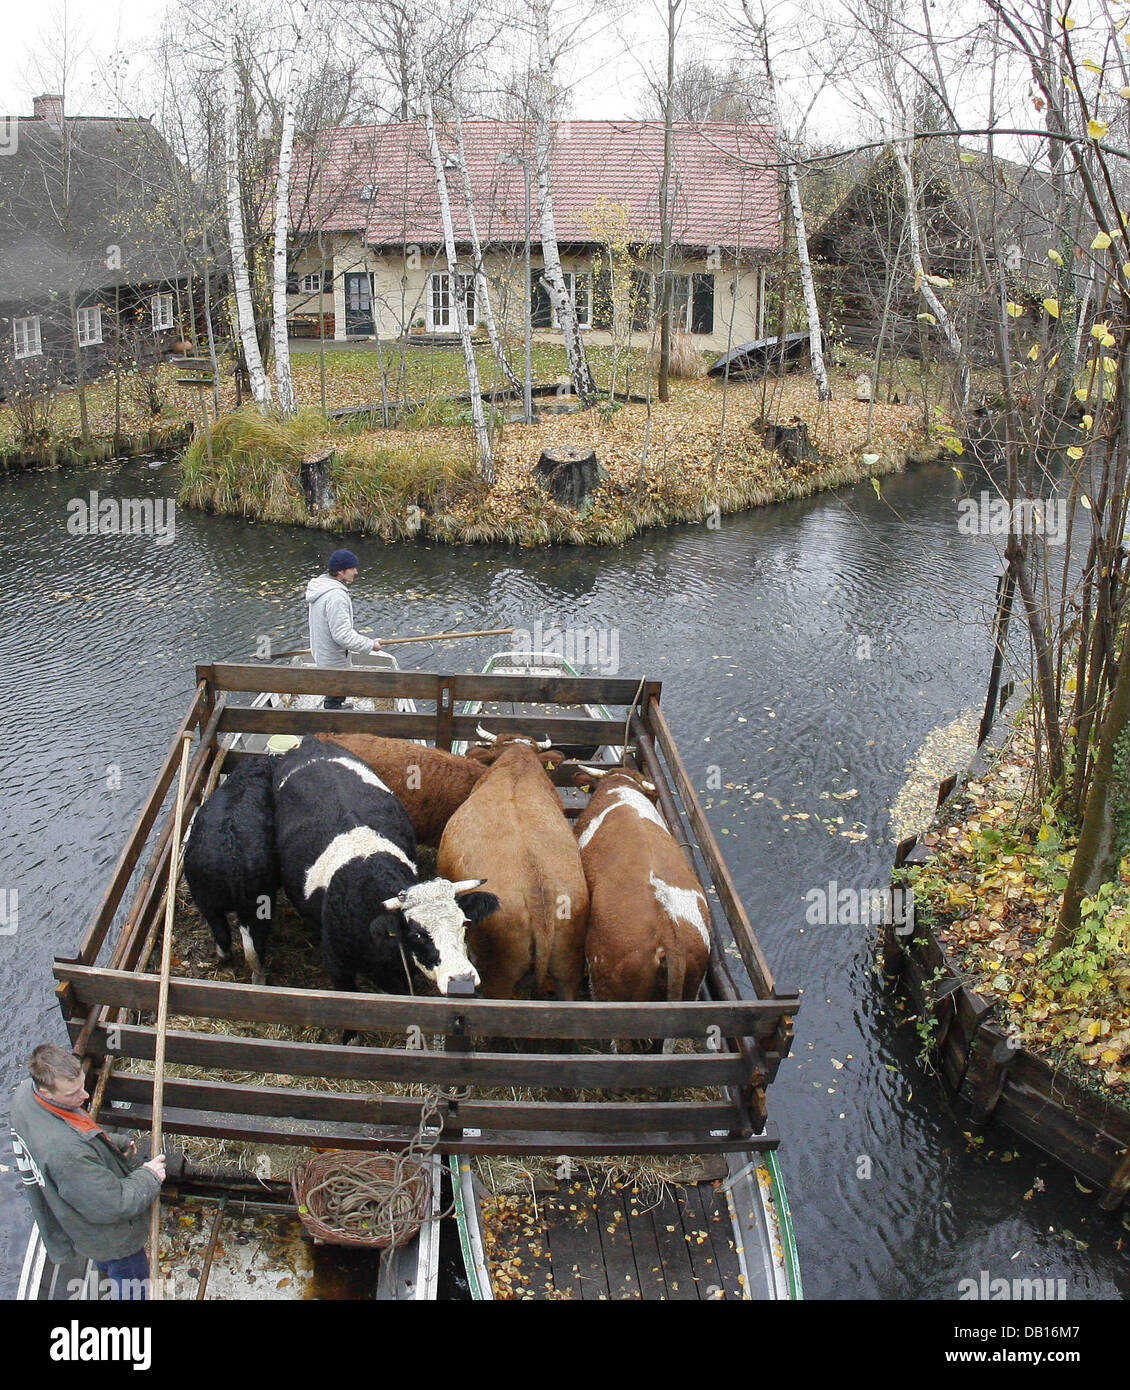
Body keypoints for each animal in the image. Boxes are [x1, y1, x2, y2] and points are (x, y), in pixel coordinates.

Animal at [184, 756, 279, 984]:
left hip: (205, 900)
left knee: (222, 934)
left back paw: (225, 960)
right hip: (260, 904)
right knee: (256, 946)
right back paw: (259, 978)